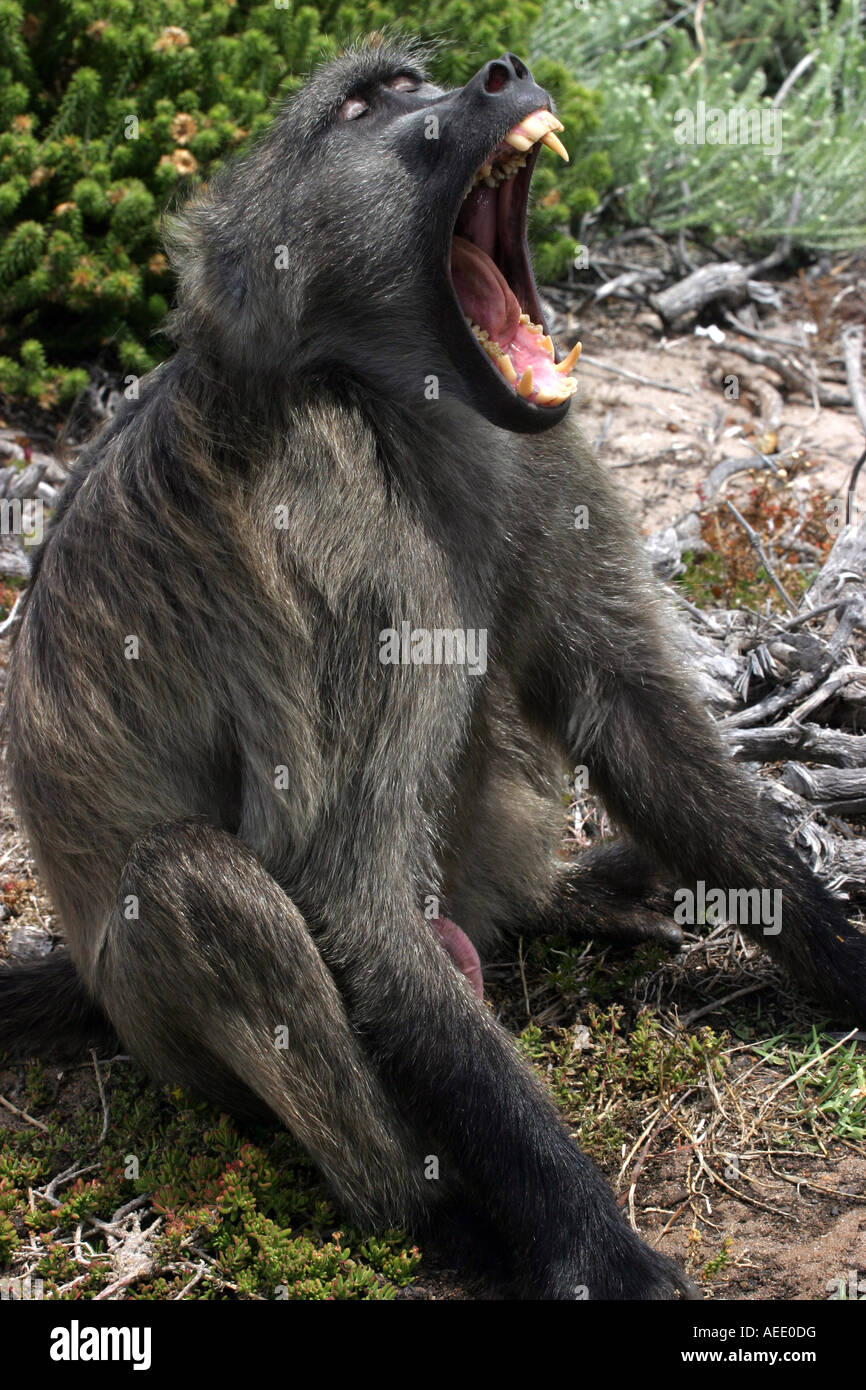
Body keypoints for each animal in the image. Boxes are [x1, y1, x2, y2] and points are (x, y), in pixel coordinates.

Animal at [1, 37, 864, 1301]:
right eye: (366, 106)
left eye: (418, 78)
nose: (502, 71)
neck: (397, 400)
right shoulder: (340, 517)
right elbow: (350, 895)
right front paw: (593, 1245)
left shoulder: (533, 453)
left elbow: (625, 714)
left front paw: (846, 961)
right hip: (162, 1022)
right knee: (201, 884)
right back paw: (433, 1214)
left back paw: (572, 900)